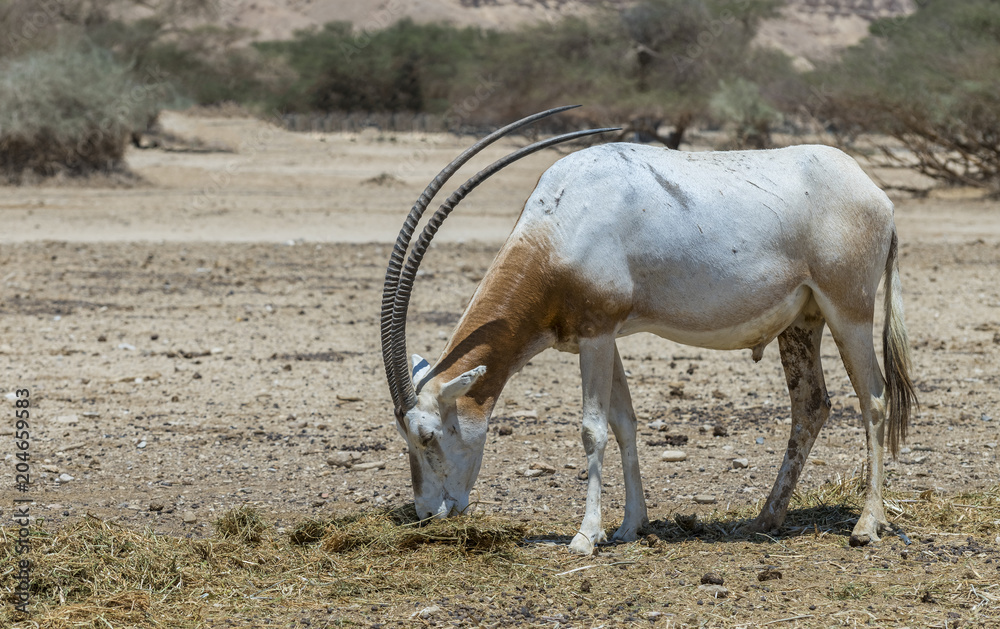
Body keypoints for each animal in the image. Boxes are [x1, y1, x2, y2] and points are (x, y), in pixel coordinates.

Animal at [381, 106, 917, 554]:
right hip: (802, 323)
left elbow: (592, 428)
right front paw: (628, 526)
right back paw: (766, 519)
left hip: (848, 311)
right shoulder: (603, 335)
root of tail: (878, 197)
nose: (428, 514)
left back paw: (866, 525)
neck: (561, 223)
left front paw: (585, 536)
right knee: (811, 405)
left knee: (873, 397)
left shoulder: (596, 335)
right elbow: (624, 422)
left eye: (427, 435)